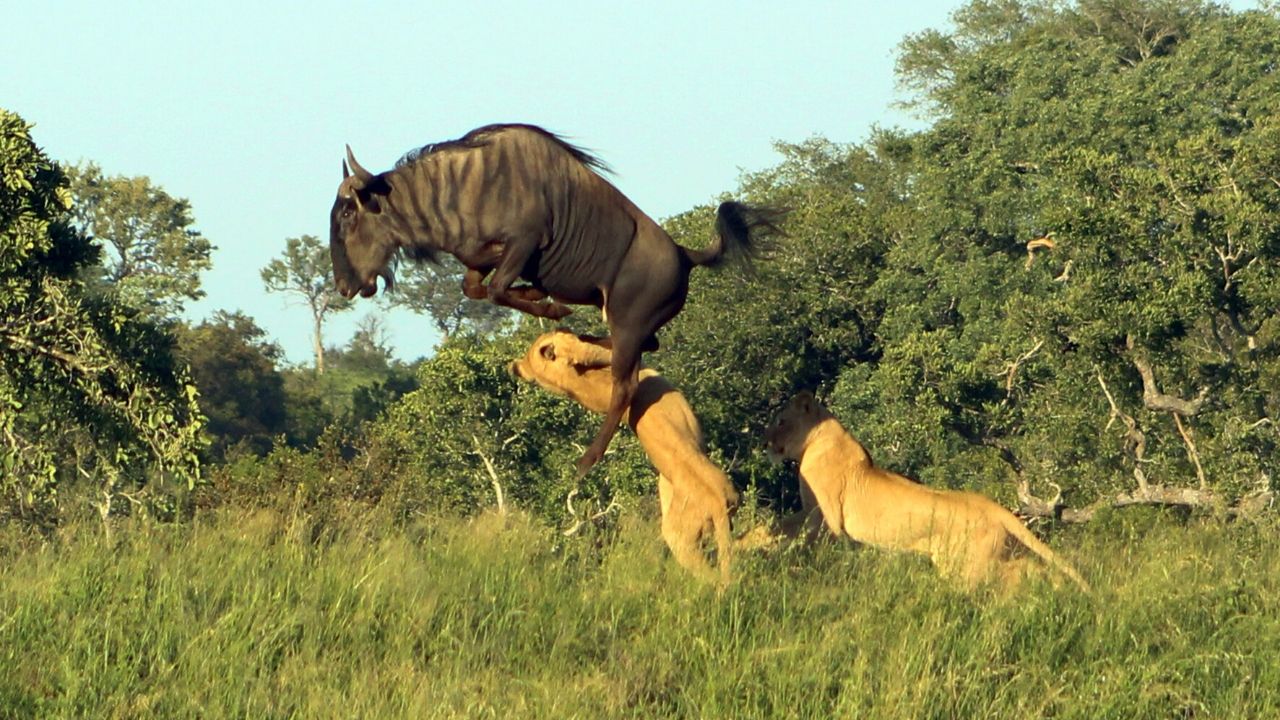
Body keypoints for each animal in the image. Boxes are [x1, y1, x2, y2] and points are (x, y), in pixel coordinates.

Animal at [764, 392, 1089, 593]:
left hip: (965, 568)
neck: (814, 441)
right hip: (984, 559)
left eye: (781, 420)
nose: (764, 440)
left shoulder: (825, 519)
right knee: (1027, 568)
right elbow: (777, 527)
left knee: (1010, 579)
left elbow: (792, 536)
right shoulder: (813, 514)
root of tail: (989, 505)